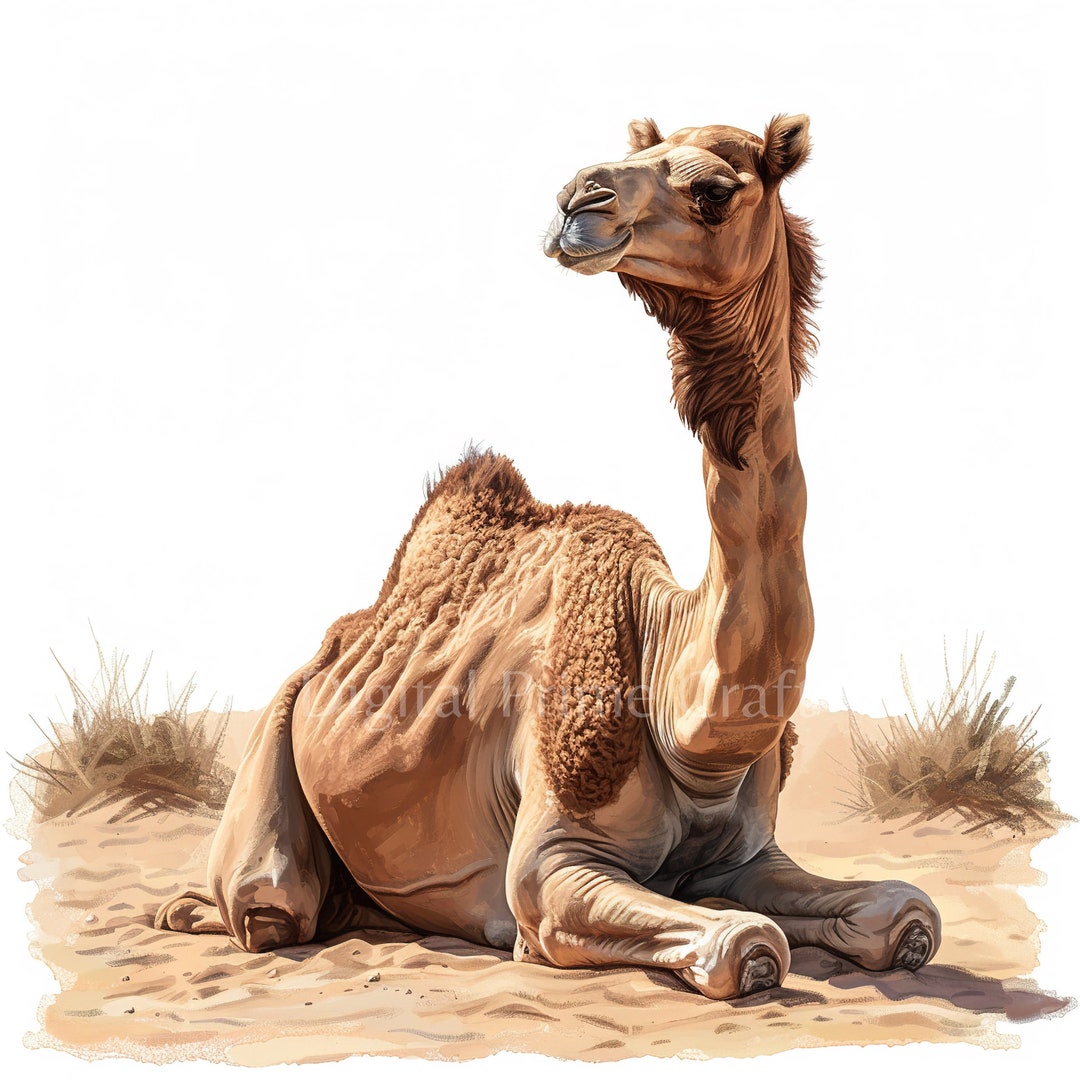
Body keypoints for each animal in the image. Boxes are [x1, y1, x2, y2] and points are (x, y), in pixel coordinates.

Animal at [157, 114, 940, 999]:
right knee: (266, 906)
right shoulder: (549, 867)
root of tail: (326, 652)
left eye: (712, 188)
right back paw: (191, 909)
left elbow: (906, 909)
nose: (577, 200)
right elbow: (745, 943)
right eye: (636, 160)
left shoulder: (750, 858)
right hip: (274, 749)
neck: (681, 706)